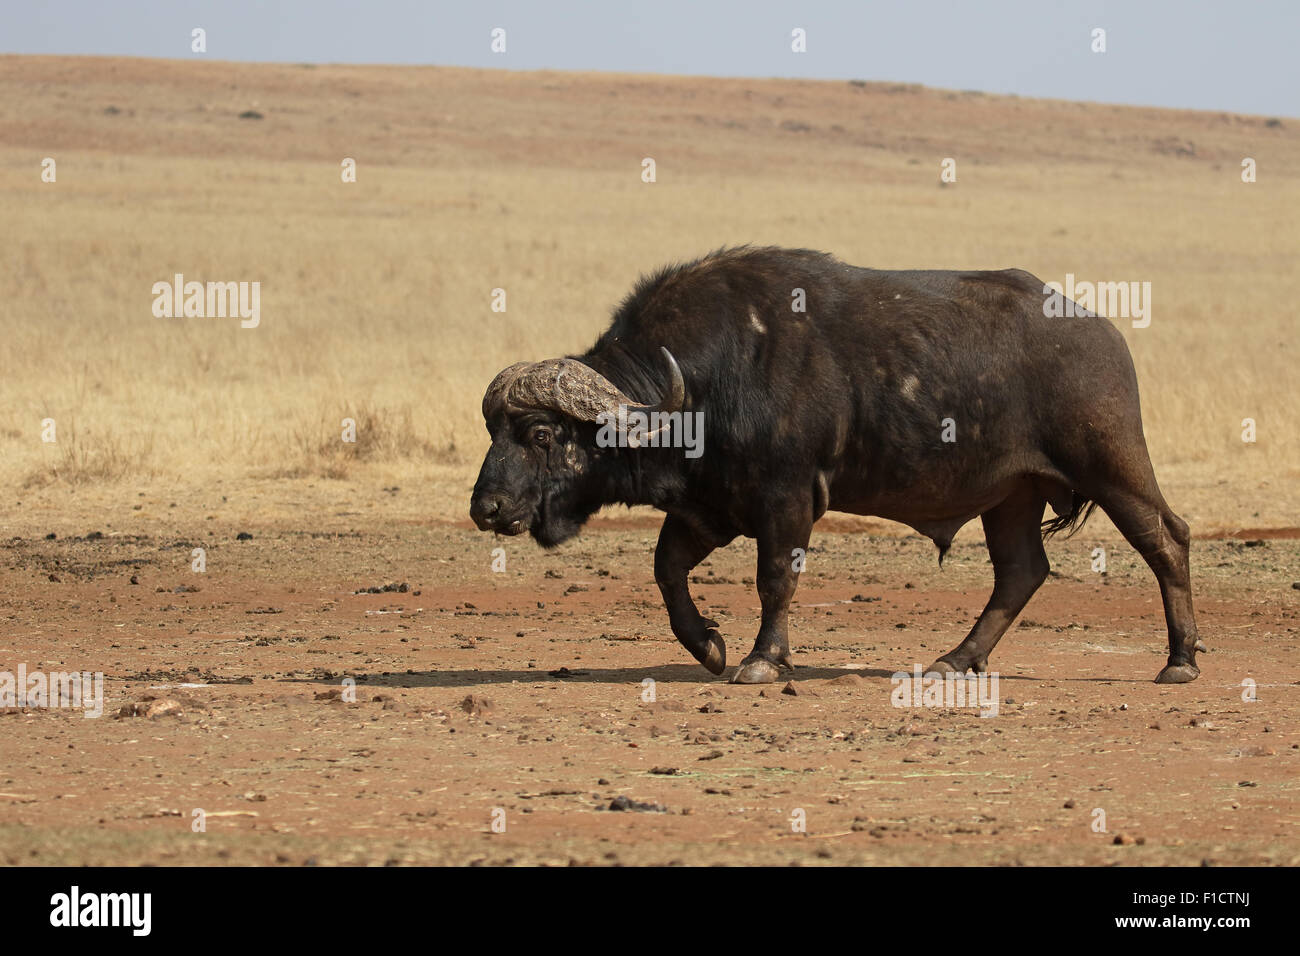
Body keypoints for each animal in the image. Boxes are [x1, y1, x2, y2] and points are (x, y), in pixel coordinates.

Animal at [470, 246, 1204, 685]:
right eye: (491, 429)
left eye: (538, 432)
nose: (486, 509)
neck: (708, 380)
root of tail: (1101, 331)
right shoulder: (711, 508)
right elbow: (666, 569)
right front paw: (707, 645)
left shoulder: (788, 499)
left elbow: (774, 580)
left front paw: (763, 660)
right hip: (1011, 496)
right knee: (1022, 571)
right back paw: (954, 659)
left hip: (1112, 464)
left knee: (1168, 539)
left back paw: (1180, 661)